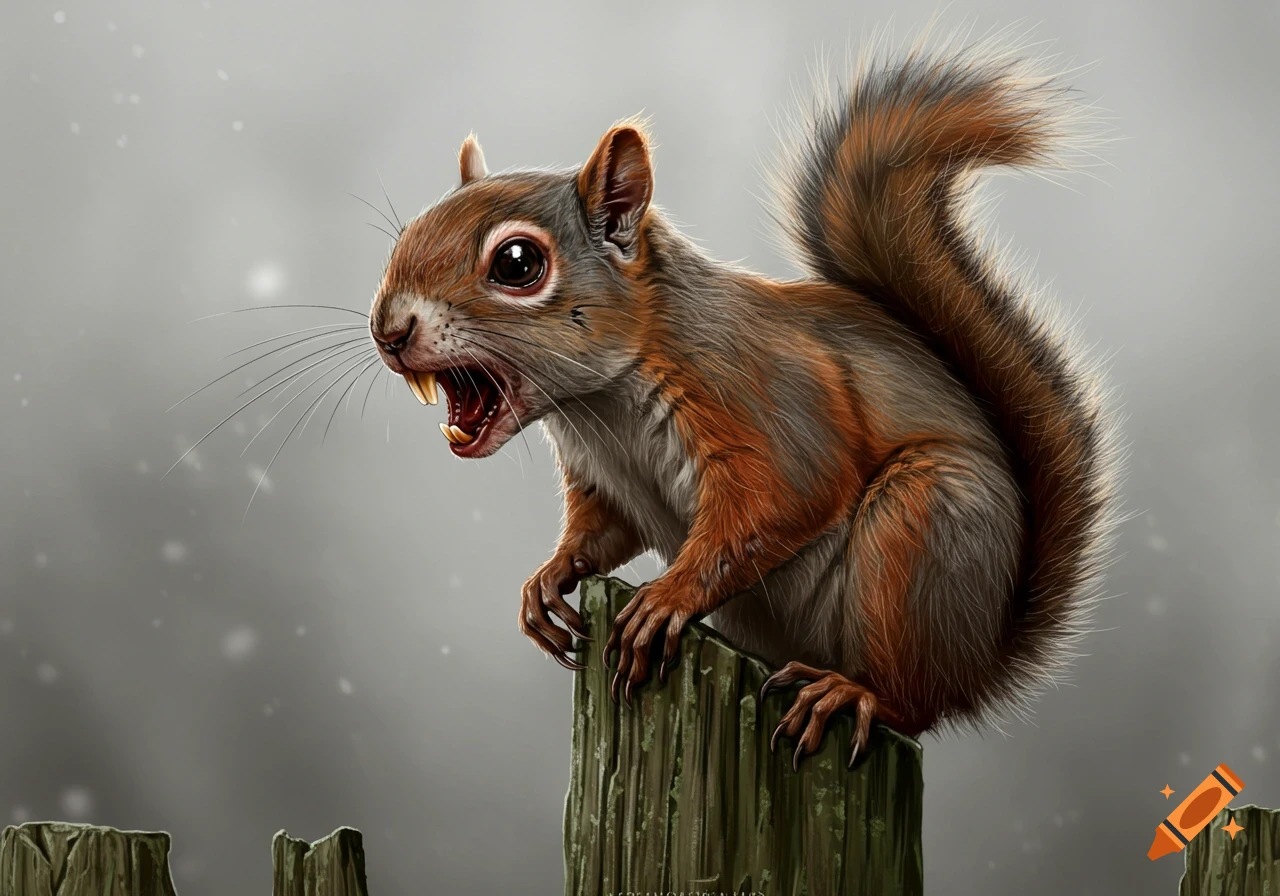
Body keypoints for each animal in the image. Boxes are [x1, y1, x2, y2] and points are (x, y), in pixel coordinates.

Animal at [368, 34, 1122, 766]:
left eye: (518, 263)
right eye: (406, 238)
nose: (388, 331)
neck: (600, 404)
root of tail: (982, 659)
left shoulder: (761, 390)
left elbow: (786, 493)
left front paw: (667, 597)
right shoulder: (603, 475)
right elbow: (602, 532)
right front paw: (548, 580)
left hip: (924, 531)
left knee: (913, 702)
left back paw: (851, 694)